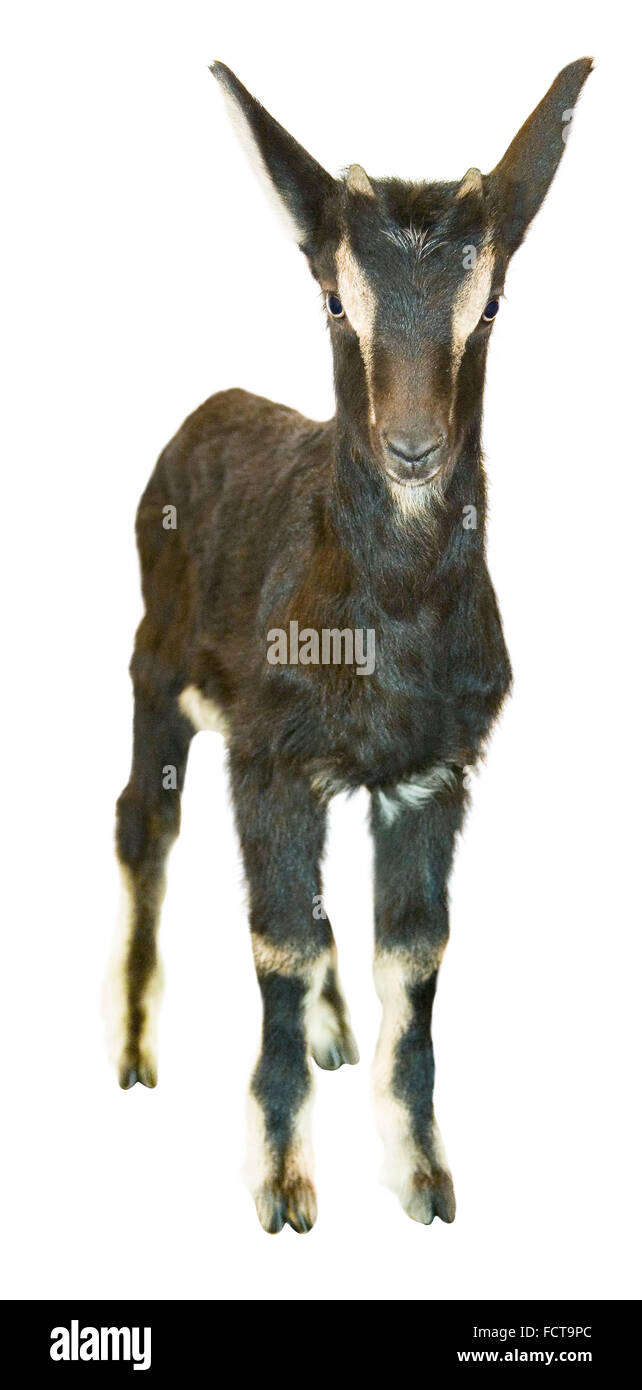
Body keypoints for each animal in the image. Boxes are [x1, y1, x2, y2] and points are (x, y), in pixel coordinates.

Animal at [108, 58, 592, 1233]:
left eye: (489, 299)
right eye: (335, 297)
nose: (414, 447)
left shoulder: (432, 776)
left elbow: (413, 959)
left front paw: (425, 1177)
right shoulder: (267, 759)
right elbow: (277, 940)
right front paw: (284, 1186)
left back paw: (330, 1029)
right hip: (155, 671)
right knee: (144, 823)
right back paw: (137, 1049)